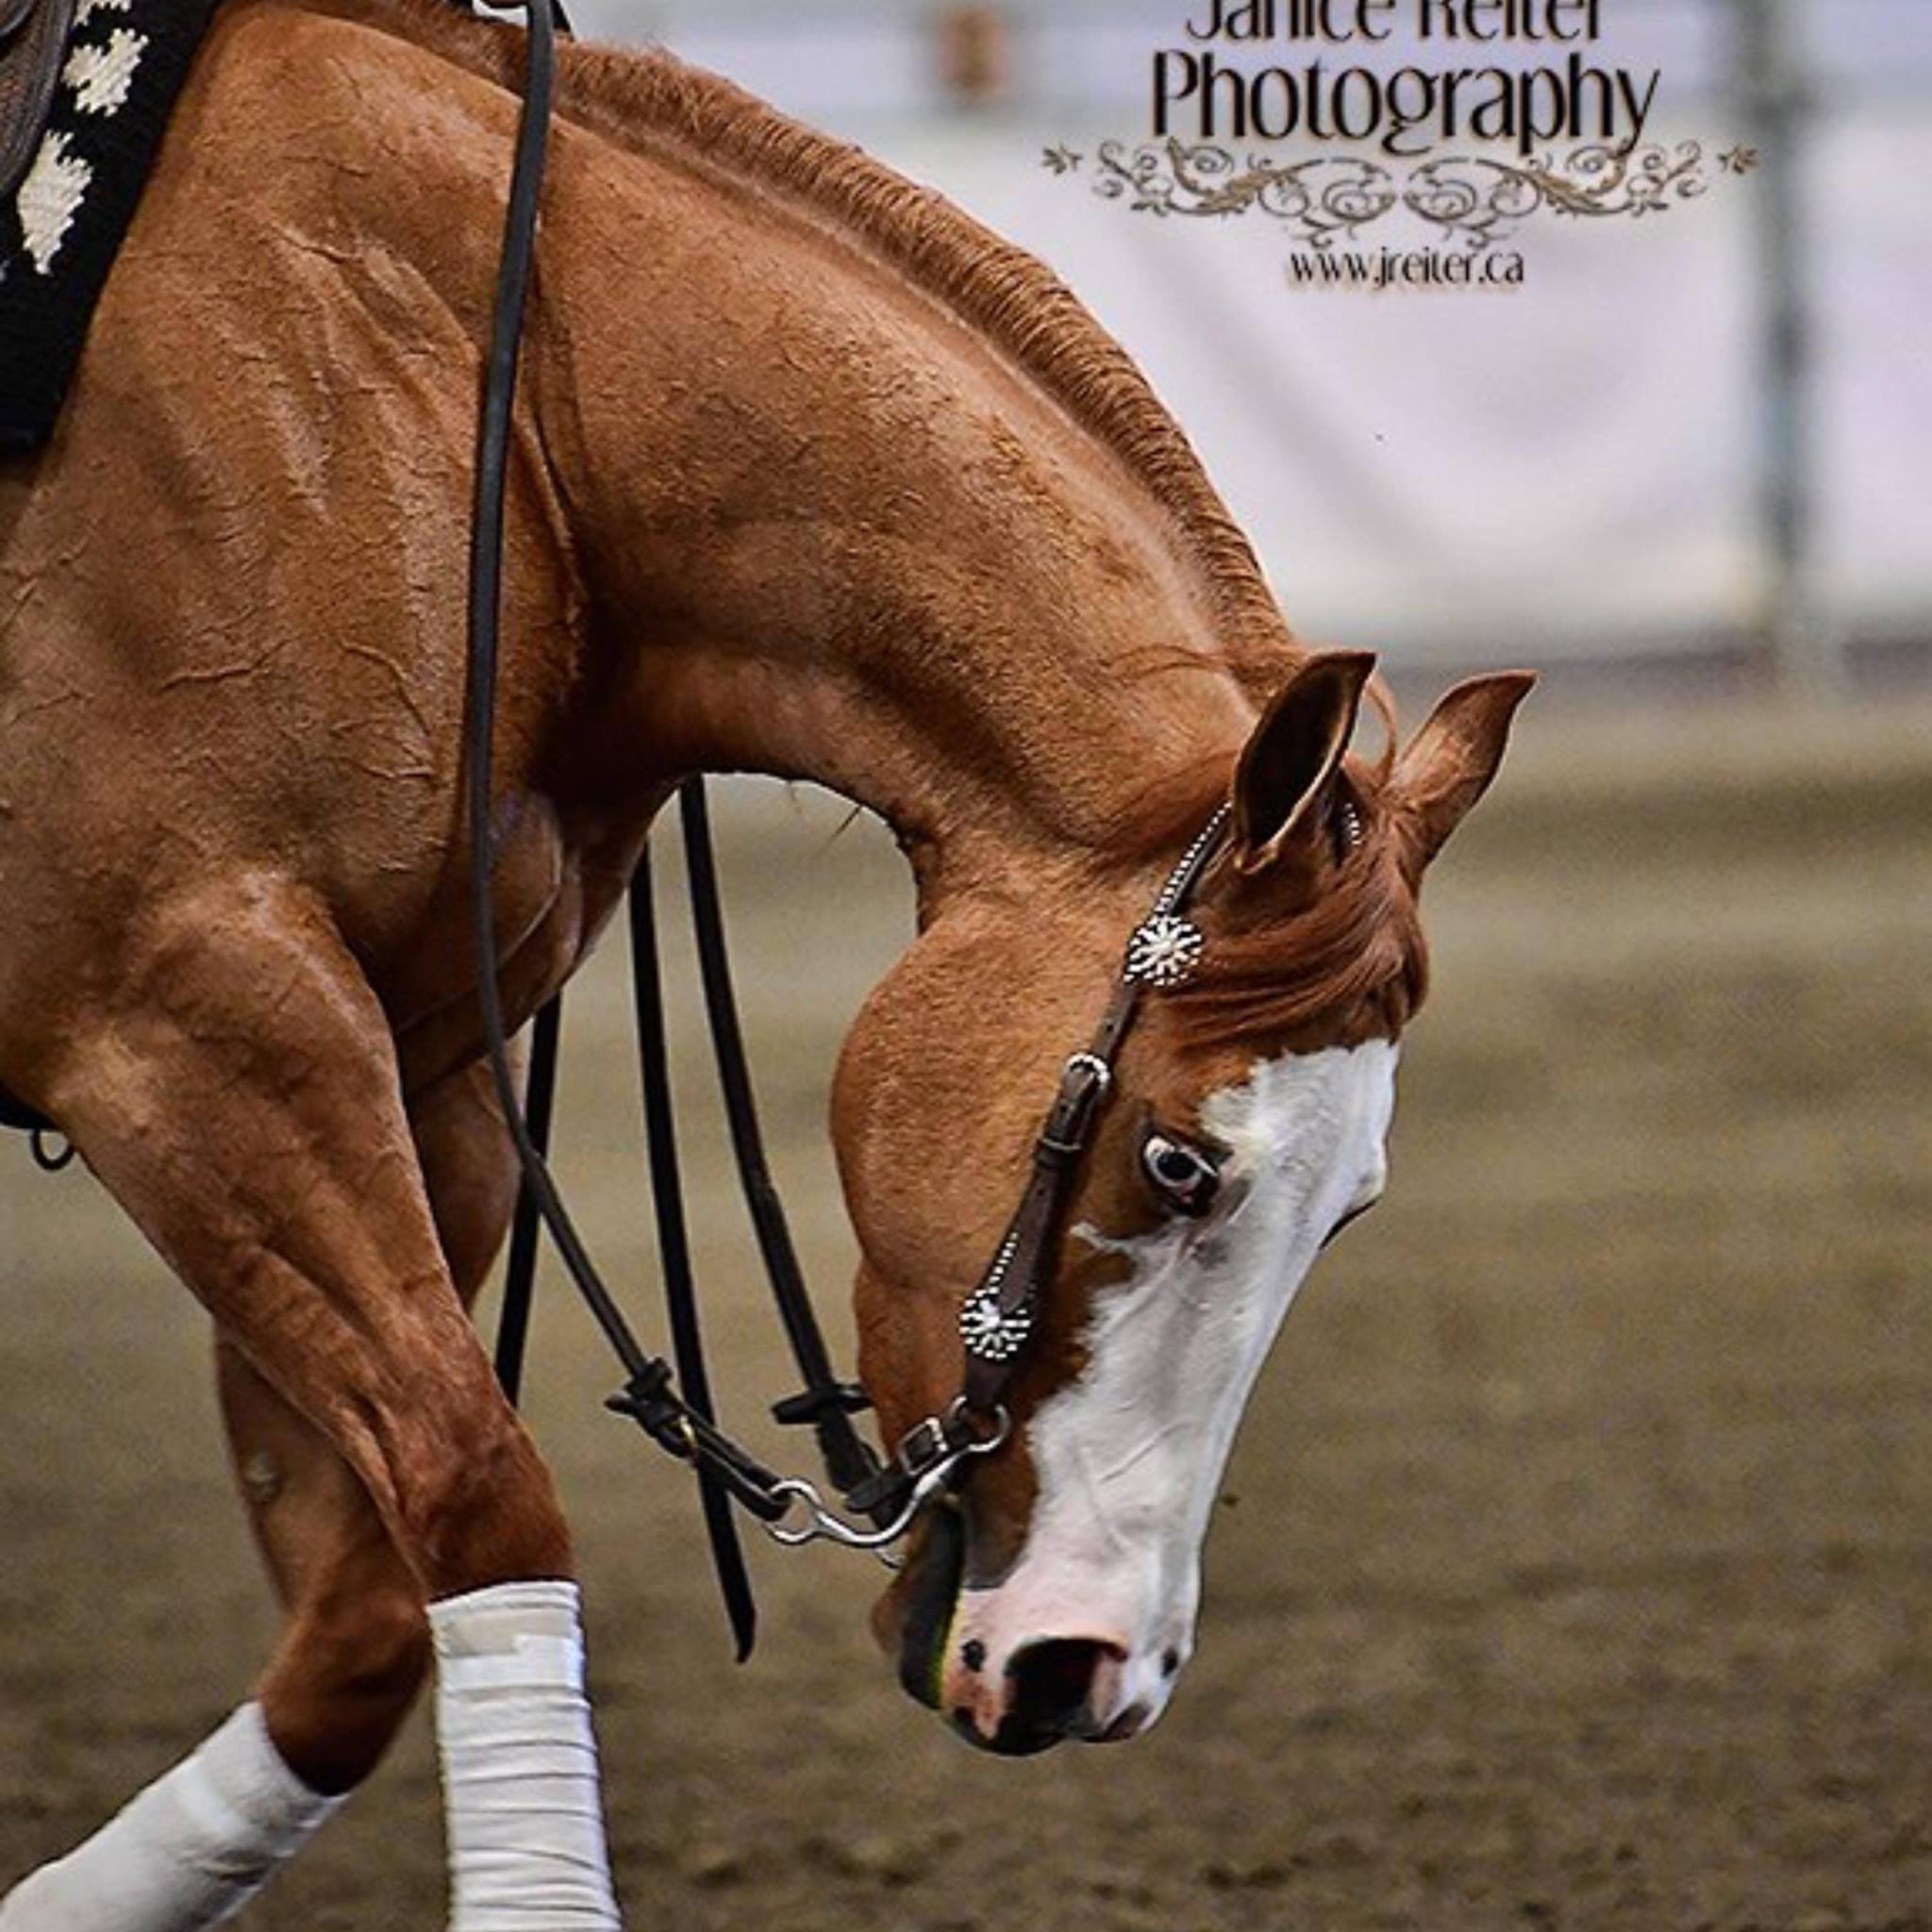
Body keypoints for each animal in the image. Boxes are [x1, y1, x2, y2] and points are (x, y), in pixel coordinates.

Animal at [0, 0, 1532, 1924]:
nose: (1085, 1669)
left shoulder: (409, 1066)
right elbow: (485, 1495)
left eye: (1350, 1207)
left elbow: (362, 1619)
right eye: (1180, 1161)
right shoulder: (184, 1022)